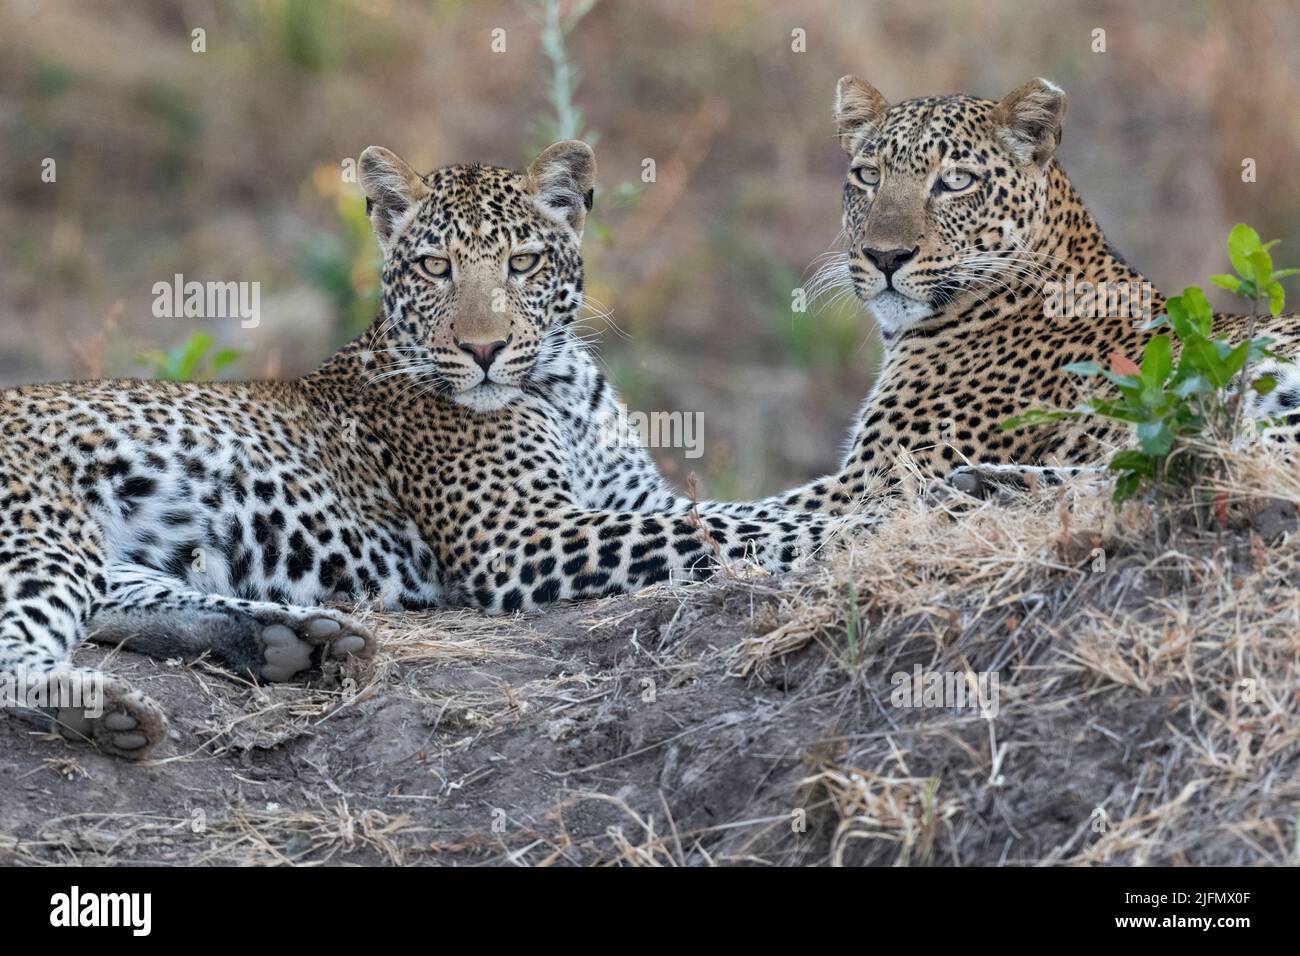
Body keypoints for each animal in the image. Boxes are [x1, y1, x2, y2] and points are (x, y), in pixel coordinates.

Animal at [0, 140, 849, 761]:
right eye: (436, 267)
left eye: (522, 263)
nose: (483, 349)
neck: (560, 384)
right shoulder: (520, 538)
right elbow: (731, 527)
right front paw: (855, 525)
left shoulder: (632, 498)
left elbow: (750, 508)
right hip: (45, 527)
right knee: (15, 652)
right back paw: (110, 712)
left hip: (103, 554)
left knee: (122, 604)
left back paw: (295, 642)